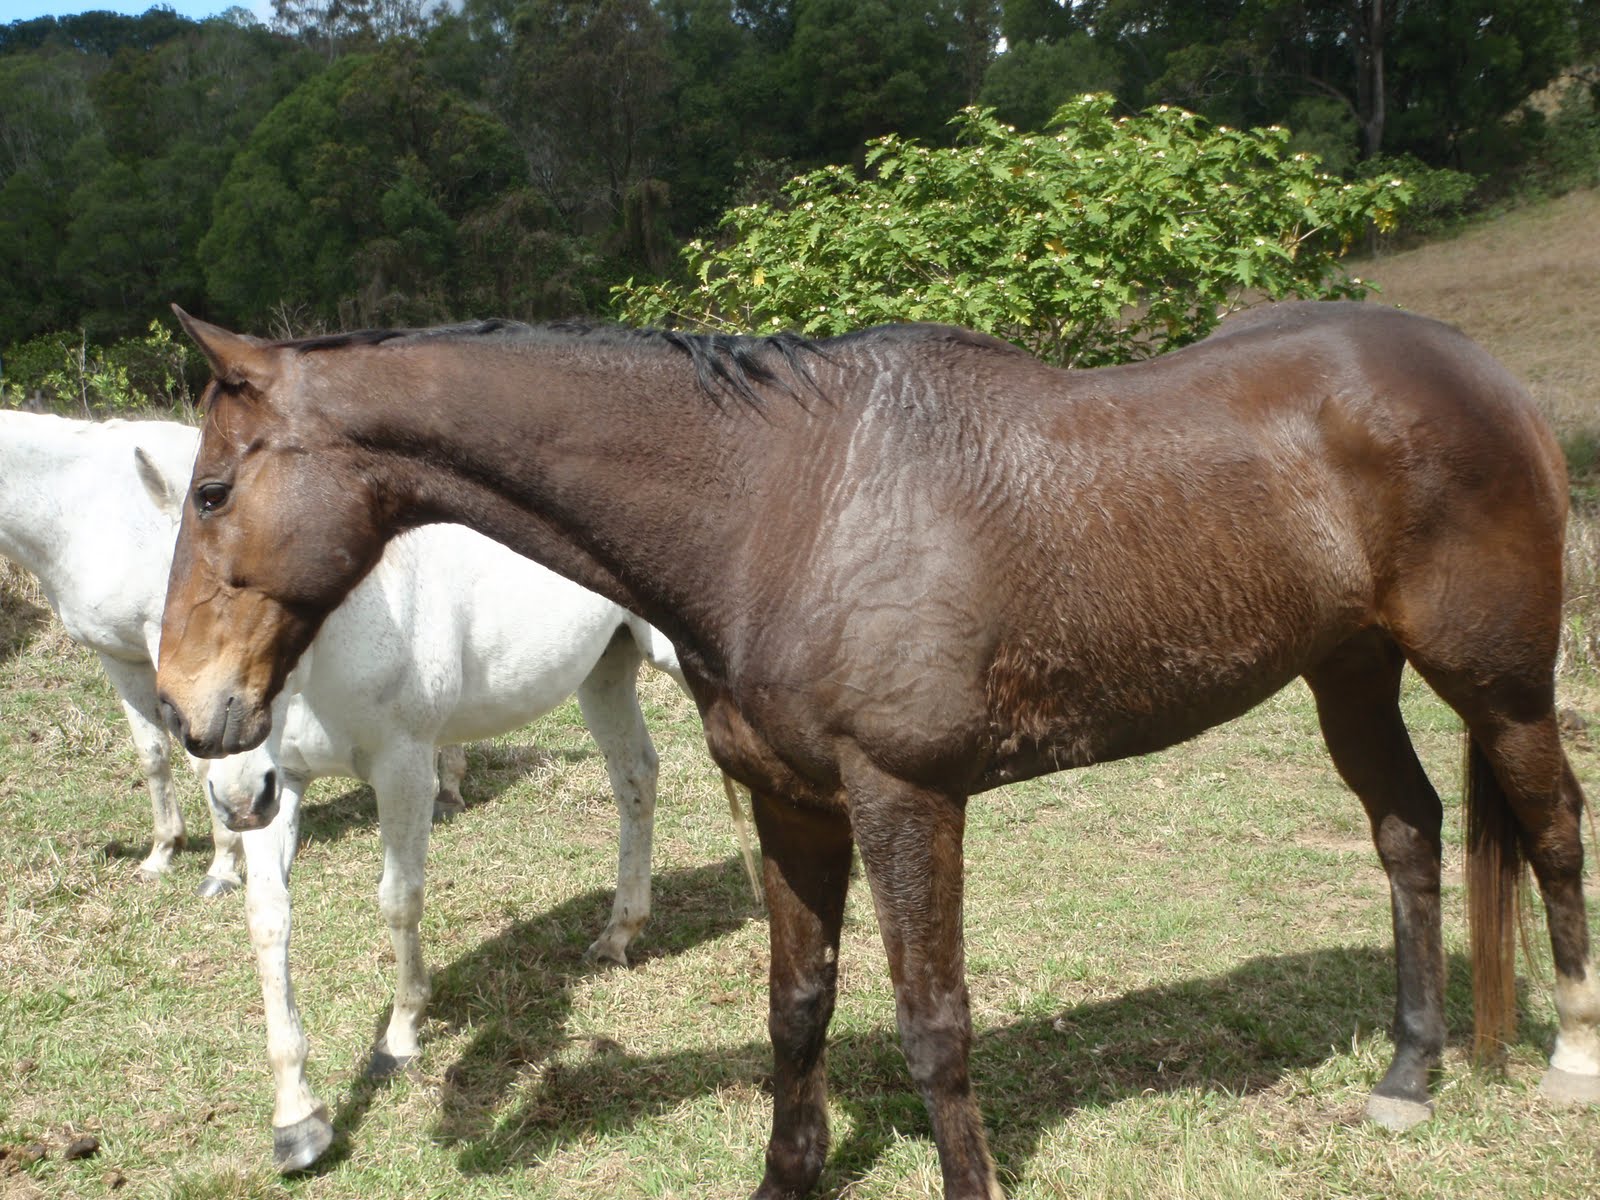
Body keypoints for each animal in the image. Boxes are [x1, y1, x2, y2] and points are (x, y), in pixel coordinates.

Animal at [154, 301, 1599, 1199]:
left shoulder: (909, 799)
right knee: (1408, 830)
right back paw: (1408, 1075)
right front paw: (785, 1173)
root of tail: (1484, 376)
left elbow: (929, 1023)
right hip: (1346, 669)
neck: (774, 506)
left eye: (214, 490)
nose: (191, 711)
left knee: (1552, 824)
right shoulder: (789, 802)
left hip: (1500, 685)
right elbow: (798, 1006)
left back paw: (1570, 1060)